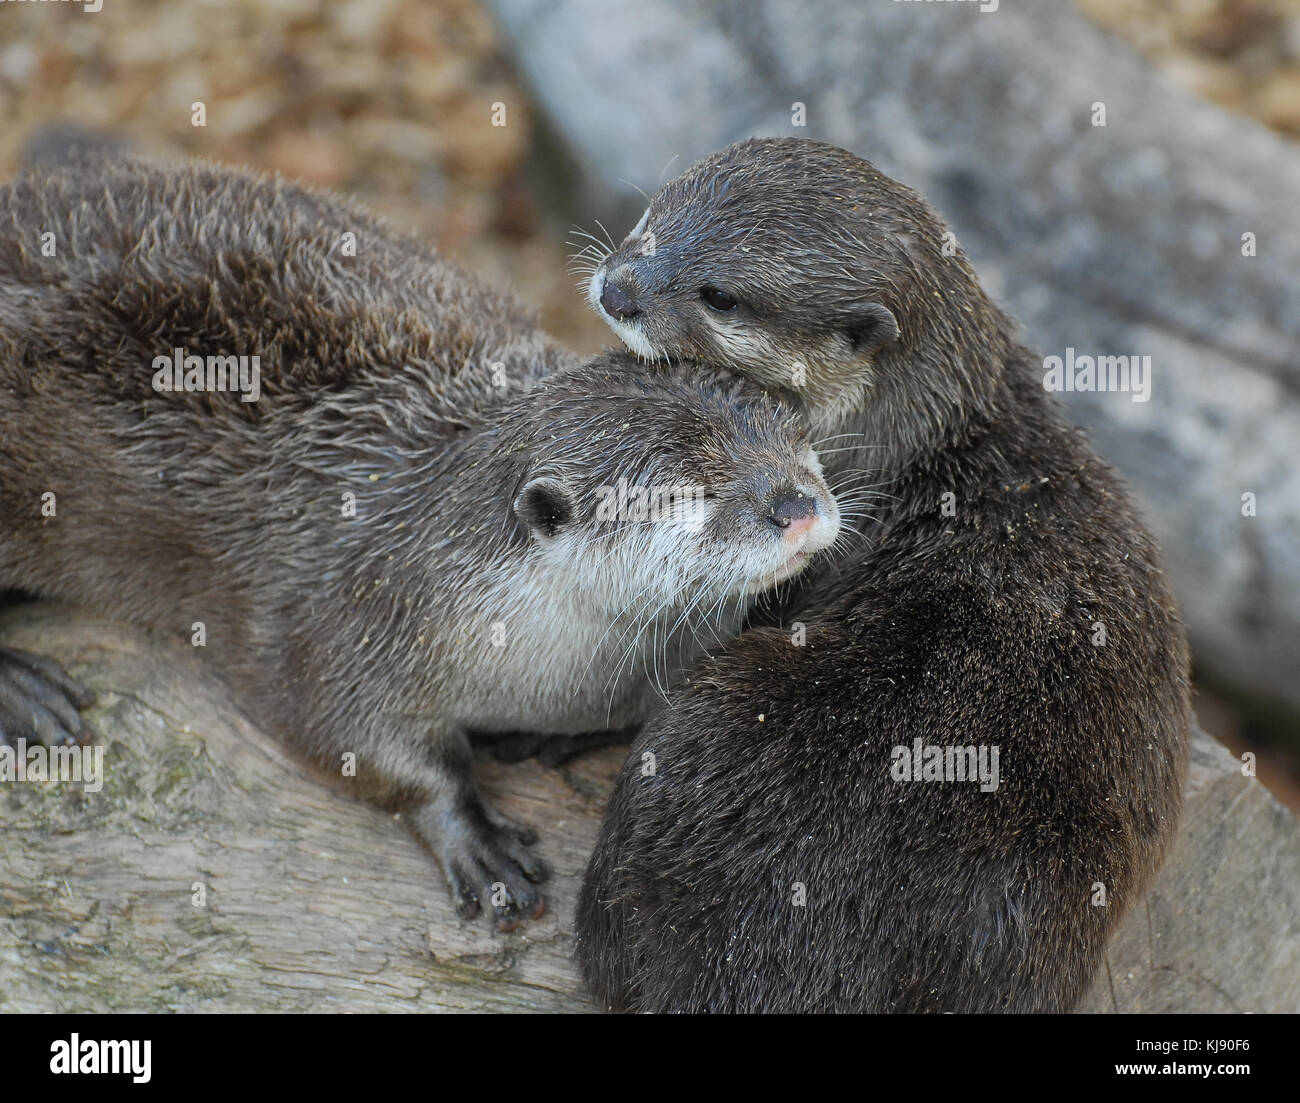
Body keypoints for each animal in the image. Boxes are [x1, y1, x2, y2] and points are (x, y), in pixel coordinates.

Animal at [0, 152, 840, 930]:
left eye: (793, 430)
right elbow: (340, 730)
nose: (797, 504)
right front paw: (472, 837)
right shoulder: (348, 615)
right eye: (685, 493)